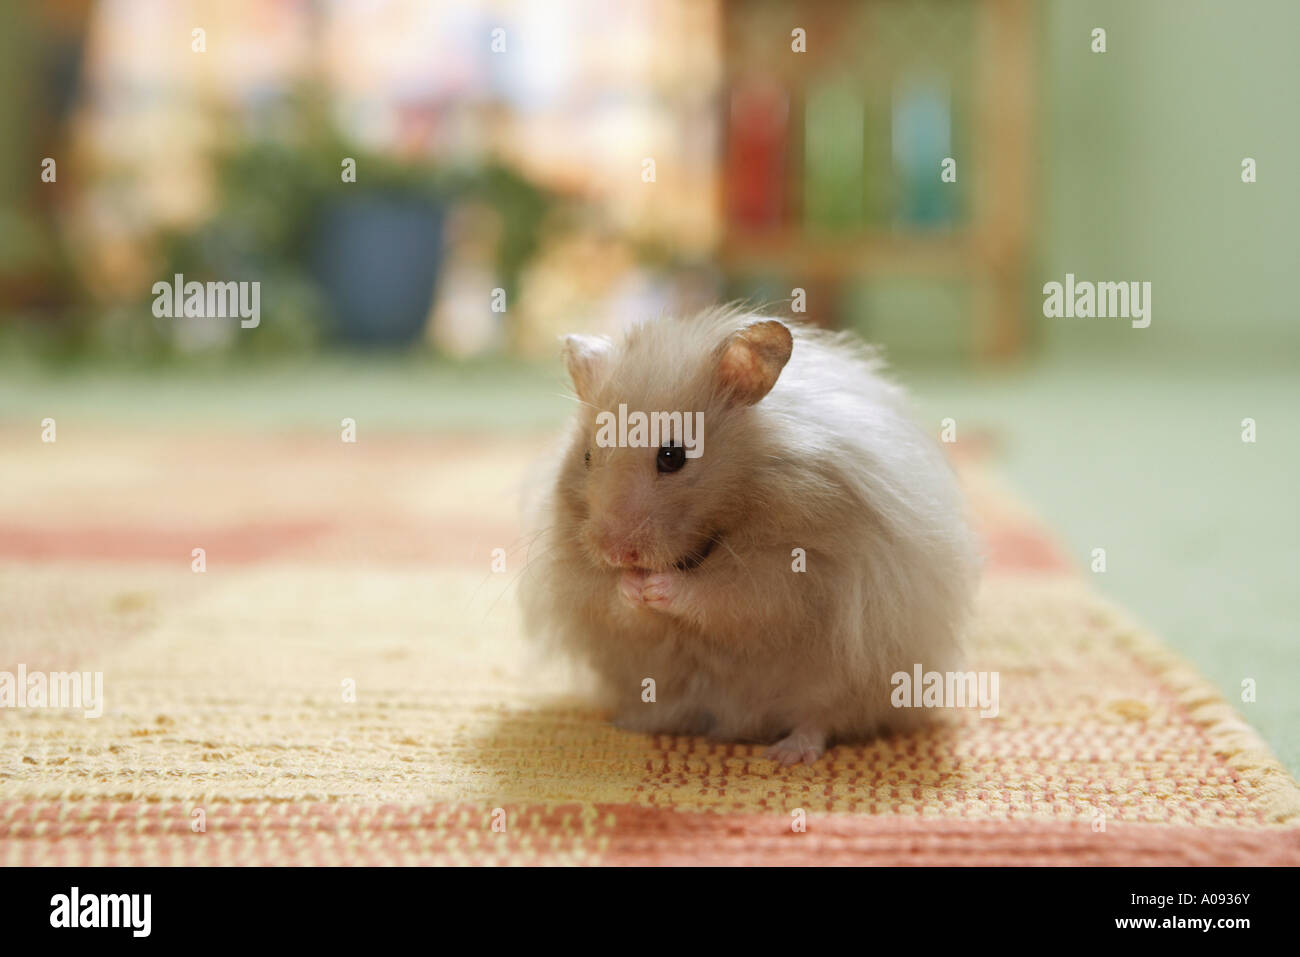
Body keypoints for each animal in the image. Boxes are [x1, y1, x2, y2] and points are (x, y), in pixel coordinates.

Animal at [519, 306, 979, 765]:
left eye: (672, 456)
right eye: (587, 456)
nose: (615, 552)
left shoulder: (794, 570)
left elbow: (728, 595)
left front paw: (656, 587)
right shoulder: (582, 580)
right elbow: (611, 601)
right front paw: (632, 586)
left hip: (844, 680)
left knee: (821, 718)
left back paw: (787, 755)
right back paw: (633, 723)